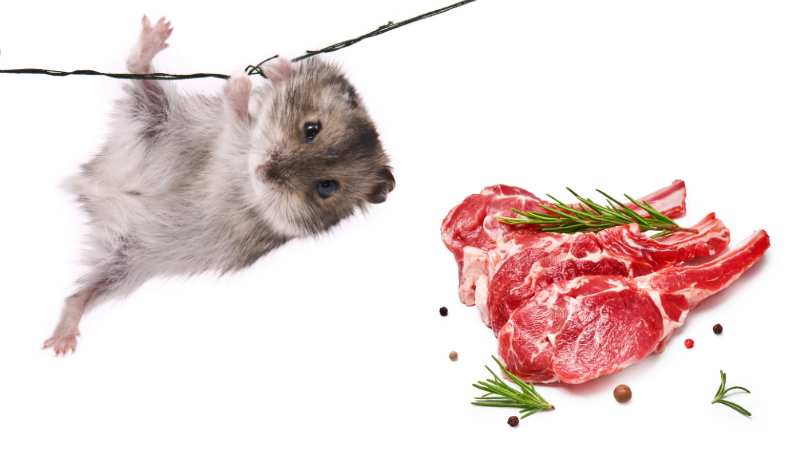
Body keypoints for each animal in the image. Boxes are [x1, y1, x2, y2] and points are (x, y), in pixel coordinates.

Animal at [43, 16, 395, 355]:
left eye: (326, 188)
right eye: (311, 129)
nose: (263, 171)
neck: (248, 161)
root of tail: (93, 185)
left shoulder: (249, 178)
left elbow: (238, 126)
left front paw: (242, 83)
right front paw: (277, 69)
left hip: (123, 262)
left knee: (79, 295)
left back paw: (61, 343)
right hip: (154, 120)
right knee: (139, 73)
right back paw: (160, 32)